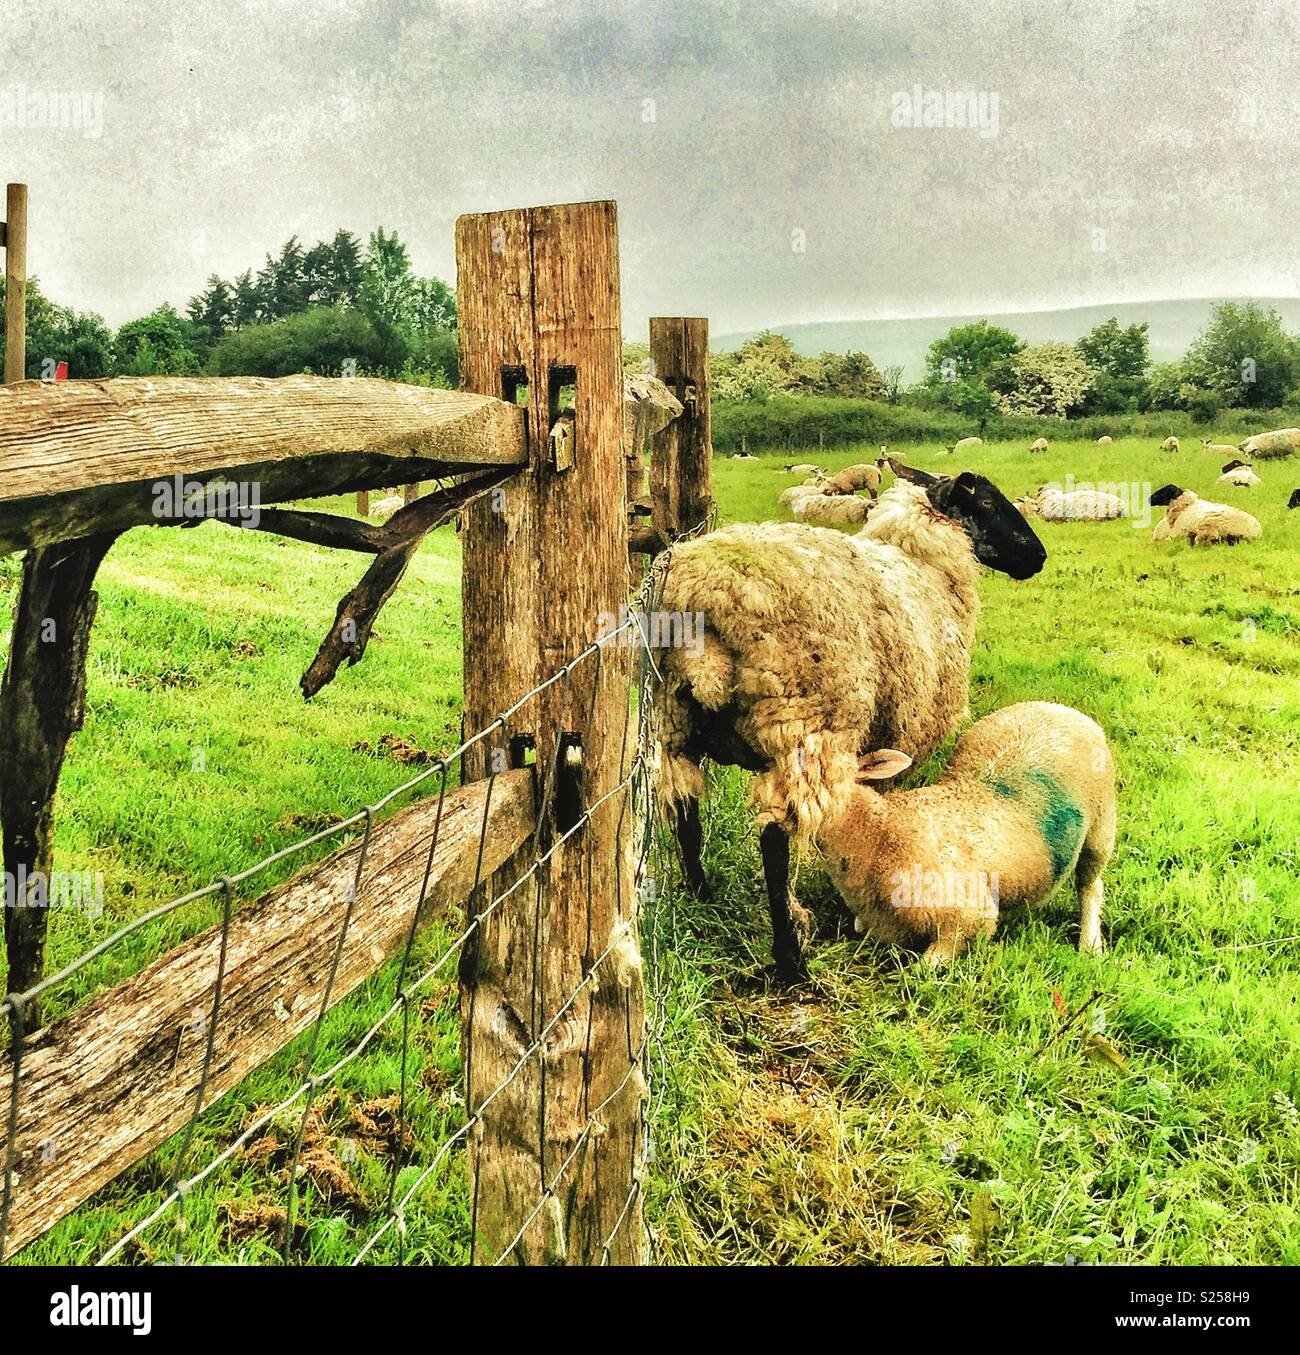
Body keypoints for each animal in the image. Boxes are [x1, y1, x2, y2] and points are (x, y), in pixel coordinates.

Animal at [654, 459, 1046, 981]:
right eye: (985, 500)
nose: (1038, 557)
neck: (927, 567)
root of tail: (702, 598)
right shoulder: (905, 730)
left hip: (674, 723)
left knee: (685, 814)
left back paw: (701, 894)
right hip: (803, 725)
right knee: (774, 842)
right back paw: (791, 959)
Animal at [815, 701, 1114, 964]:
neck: (879, 835)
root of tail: (1060, 708)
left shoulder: (970, 918)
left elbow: (924, 969)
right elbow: (859, 927)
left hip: (1101, 828)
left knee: (1090, 886)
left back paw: (1090, 945)